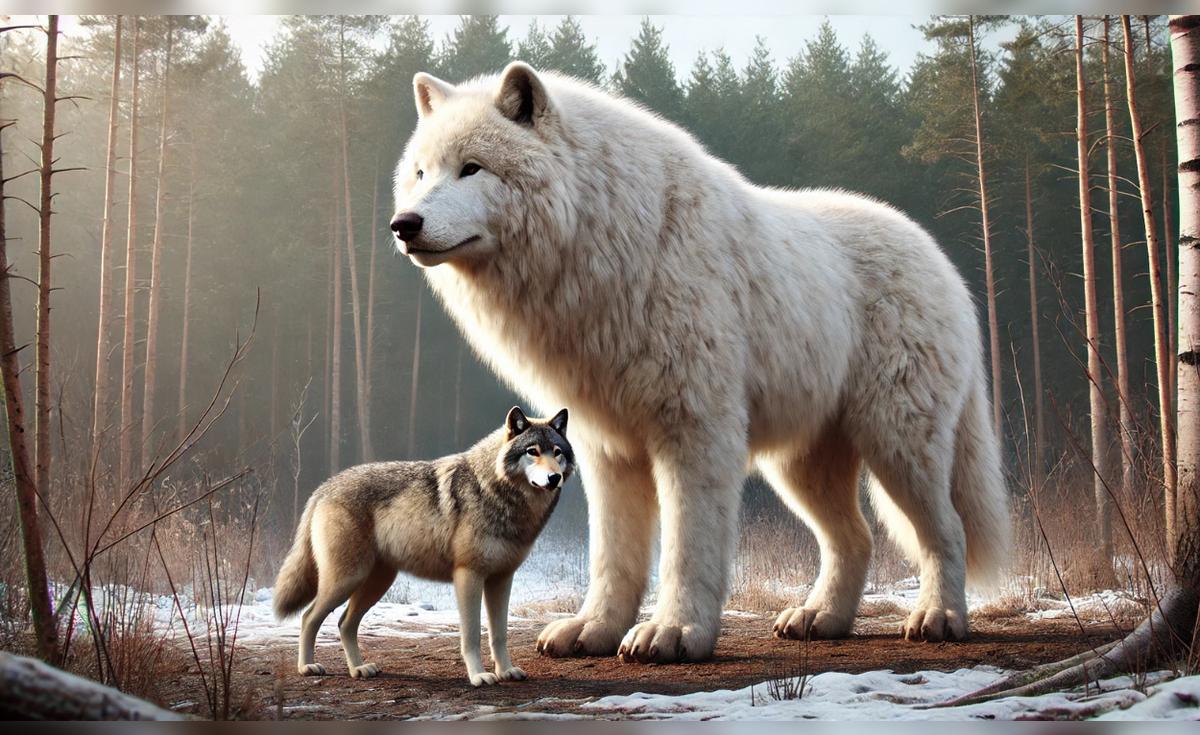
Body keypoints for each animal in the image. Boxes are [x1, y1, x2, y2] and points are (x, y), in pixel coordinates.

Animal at [273, 406, 573, 686]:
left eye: (557, 452)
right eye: (532, 451)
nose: (554, 478)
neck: (498, 492)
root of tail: (323, 487)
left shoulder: (502, 579)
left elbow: (499, 634)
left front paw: (506, 671)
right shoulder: (468, 576)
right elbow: (472, 635)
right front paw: (478, 676)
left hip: (375, 584)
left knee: (344, 623)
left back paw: (359, 669)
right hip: (345, 581)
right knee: (308, 617)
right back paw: (307, 667)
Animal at [389, 62, 1011, 664]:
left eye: (471, 169)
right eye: (421, 173)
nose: (404, 225)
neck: (612, 243)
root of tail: (942, 262)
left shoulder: (695, 431)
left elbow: (687, 547)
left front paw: (673, 633)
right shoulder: (604, 447)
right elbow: (612, 555)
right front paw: (593, 630)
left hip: (897, 445)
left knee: (946, 529)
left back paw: (939, 618)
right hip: (801, 465)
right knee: (855, 538)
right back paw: (819, 619)